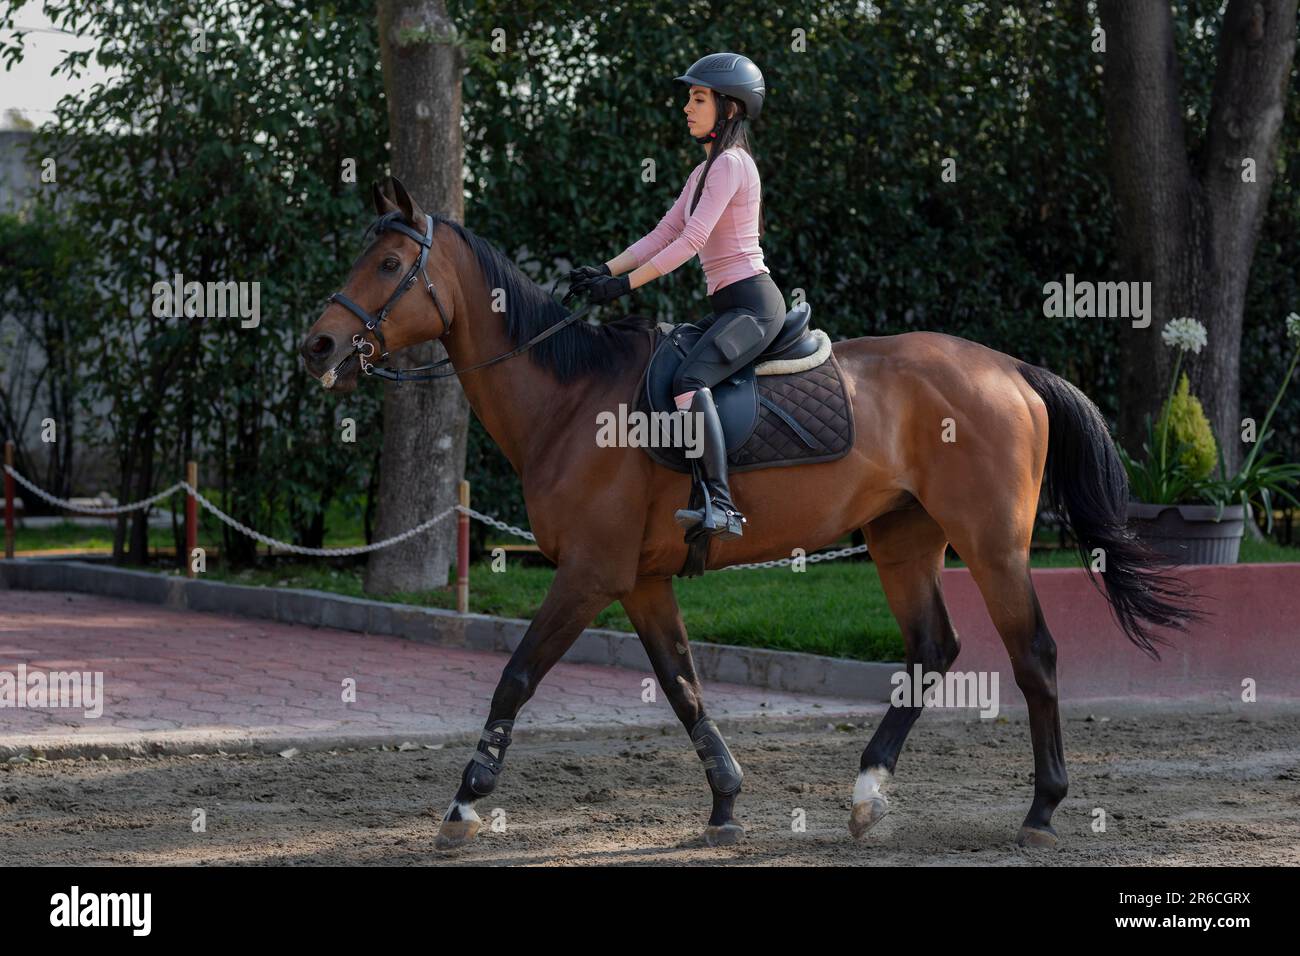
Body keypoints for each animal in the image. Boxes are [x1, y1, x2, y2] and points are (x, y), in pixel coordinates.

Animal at [300, 177, 1195, 851]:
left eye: (388, 262)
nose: (318, 346)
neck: (570, 399)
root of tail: (1010, 369)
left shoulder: (587, 575)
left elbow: (517, 677)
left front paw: (464, 803)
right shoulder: (640, 581)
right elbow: (684, 687)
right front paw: (726, 804)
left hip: (993, 544)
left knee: (1034, 654)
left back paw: (1041, 811)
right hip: (903, 539)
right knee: (933, 649)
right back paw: (866, 793)